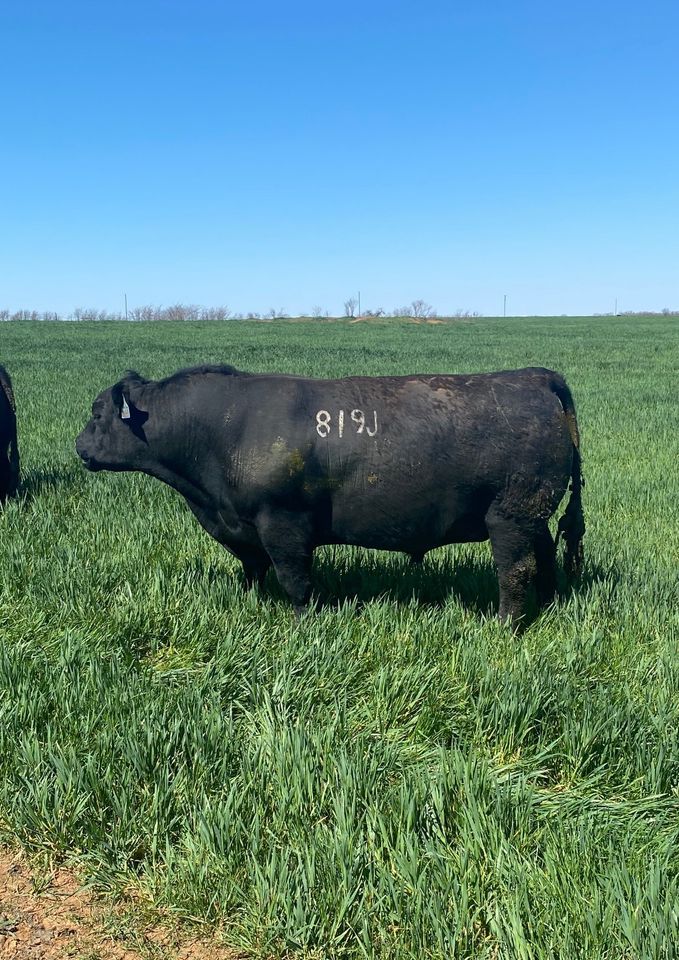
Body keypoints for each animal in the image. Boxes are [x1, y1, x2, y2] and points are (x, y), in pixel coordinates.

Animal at [76, 364, 585, 626]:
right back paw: (549, 604)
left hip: (510, 515)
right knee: (544, 558)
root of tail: (532, 376)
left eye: (97, 412)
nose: (79, 445)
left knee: (515, 571)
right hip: (532, 515)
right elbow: (252, 570)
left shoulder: (282, 523)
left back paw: (506, 625)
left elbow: (295, 582)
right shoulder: (243, 528)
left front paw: (303, 624)